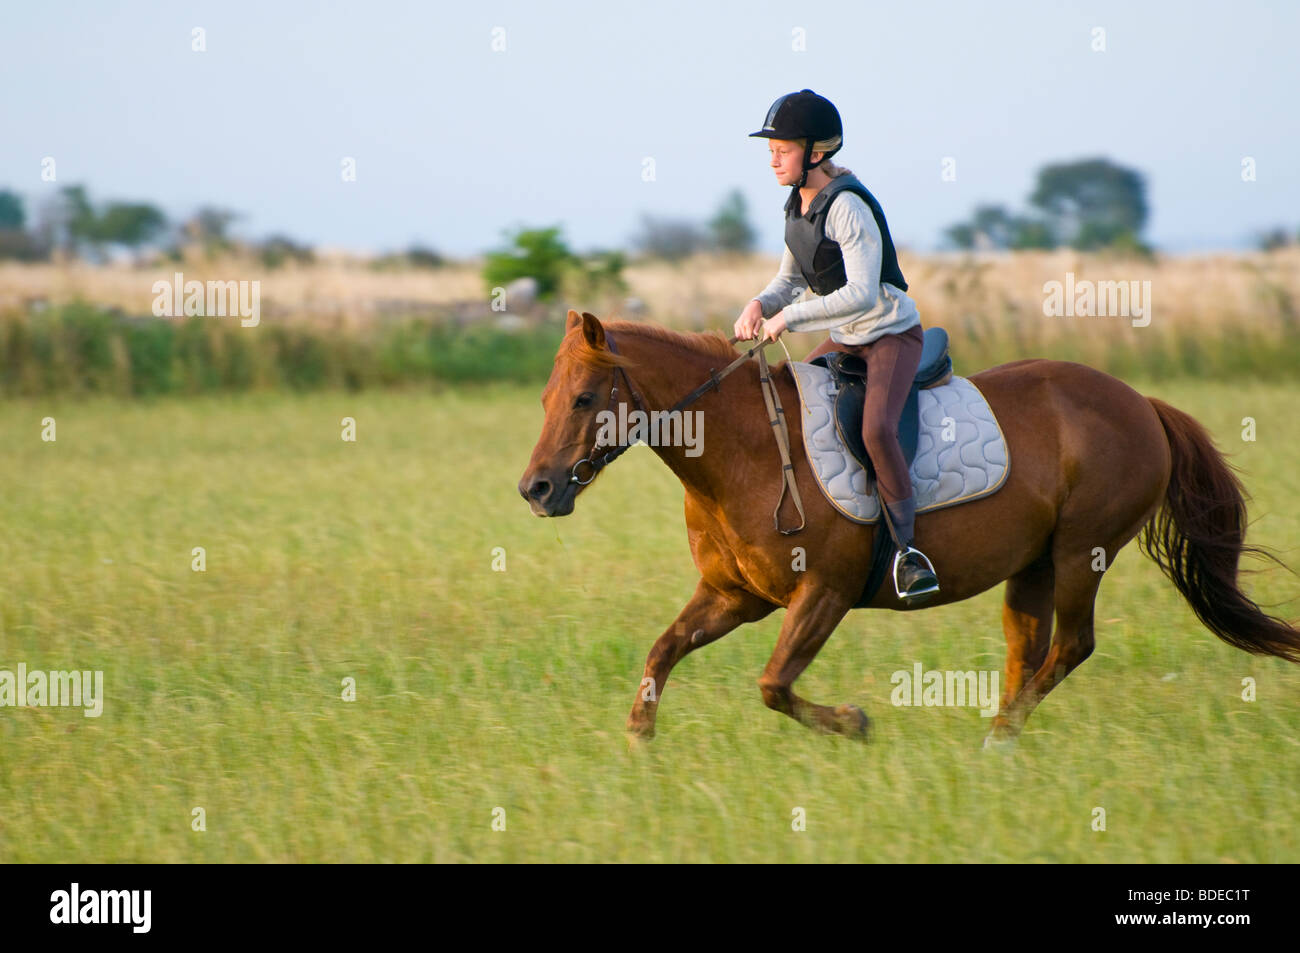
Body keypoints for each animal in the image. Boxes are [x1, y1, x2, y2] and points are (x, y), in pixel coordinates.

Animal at [518, 310, 1300, 745]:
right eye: (548, 396)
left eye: (585, 397)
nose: (536, 489)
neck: (747, 451)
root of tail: (1141, 402)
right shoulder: (734, 596)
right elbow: (663, 651)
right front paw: (638, 744)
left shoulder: (823, 595)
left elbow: (772, 684)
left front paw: (855, 725)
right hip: (1035, 564)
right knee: (1028, 650)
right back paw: (998, 746)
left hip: (1084, 551)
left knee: (1070, 647)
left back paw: (997, 741)